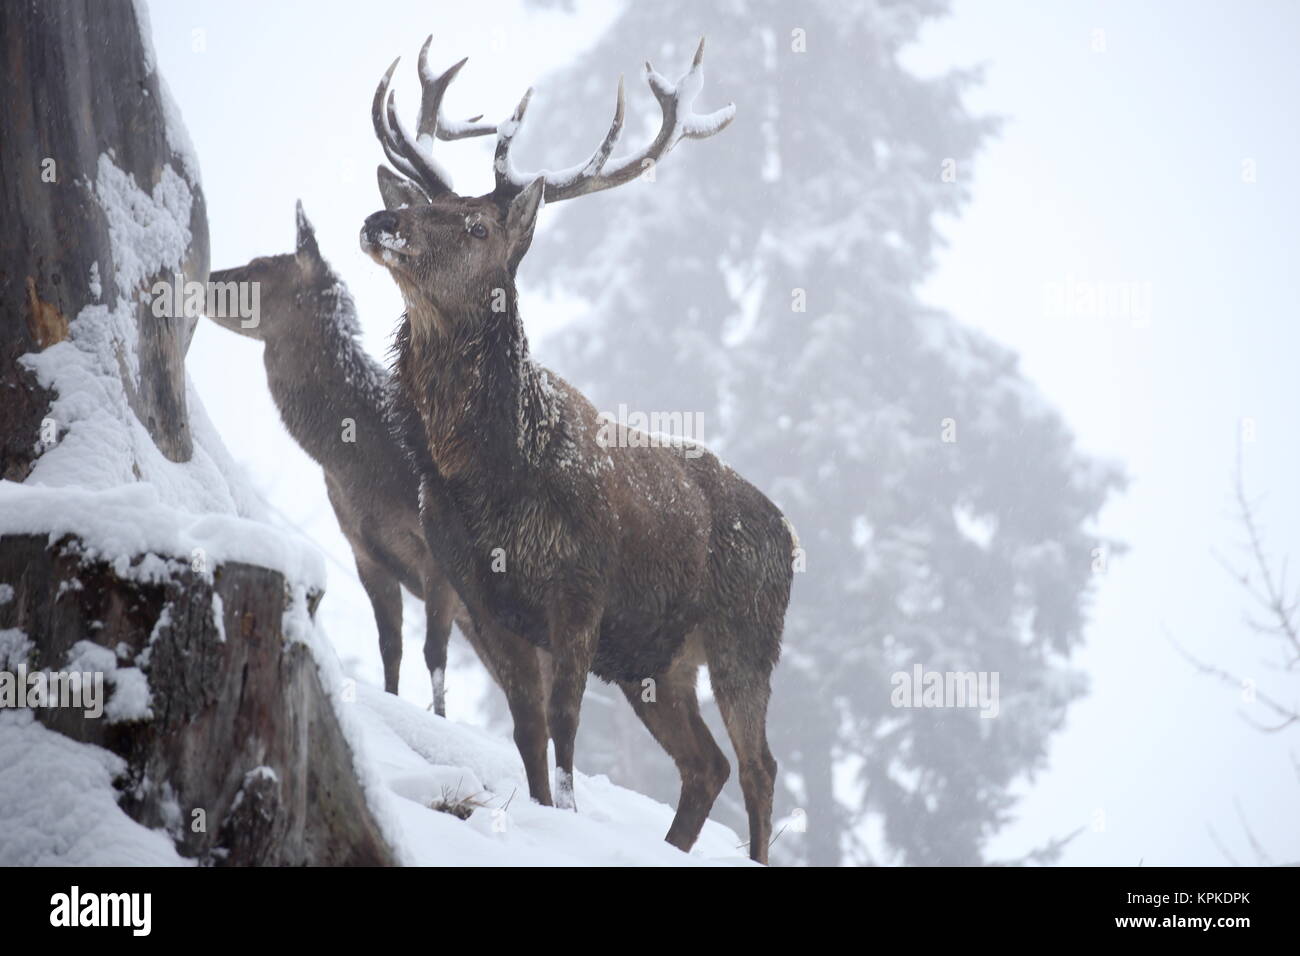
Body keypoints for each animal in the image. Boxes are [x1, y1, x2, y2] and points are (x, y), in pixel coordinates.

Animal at [205, 212, 557, 807]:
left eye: (259, 266)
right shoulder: (362, 548)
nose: (203, 276)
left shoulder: (437, 558)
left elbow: (432, 653)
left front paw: (438, 728)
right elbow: (390, 647)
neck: (359, 471)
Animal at [361, 37, 795, 863]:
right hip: (658, 659)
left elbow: (563, 729)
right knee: (707, 764)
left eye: (476, 227)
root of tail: (790, 533)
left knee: (759, 765)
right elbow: (529, 732)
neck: (488, 478)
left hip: (746, 633)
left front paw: (564, 816)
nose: (379, 220)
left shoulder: (581, 588)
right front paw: (540, 813)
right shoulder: (481, 595)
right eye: (421, 204)